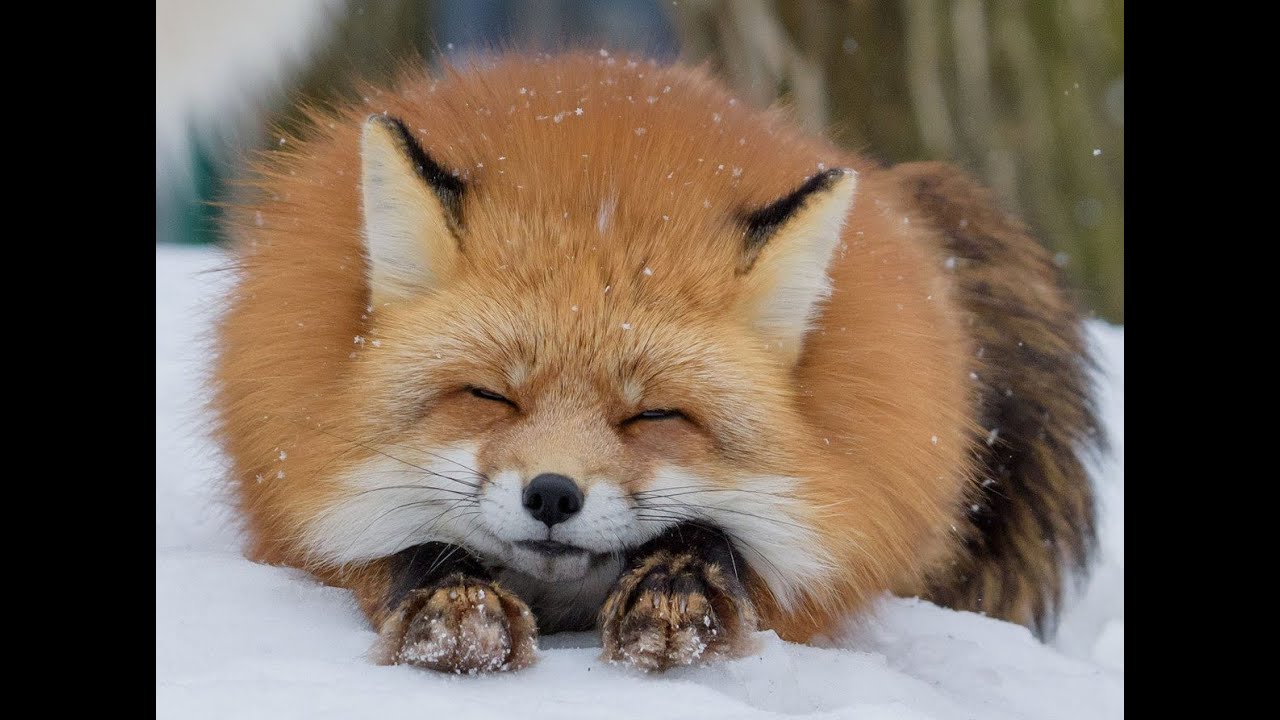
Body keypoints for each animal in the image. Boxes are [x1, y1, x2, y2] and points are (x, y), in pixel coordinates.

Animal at [212, 52, 1101, 673]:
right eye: (492, 397)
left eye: (653, 415)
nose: (552, 494)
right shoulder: (304, 499)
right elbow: (407, 551)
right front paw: (450, 602)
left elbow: (721, 541)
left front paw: (678, 587)